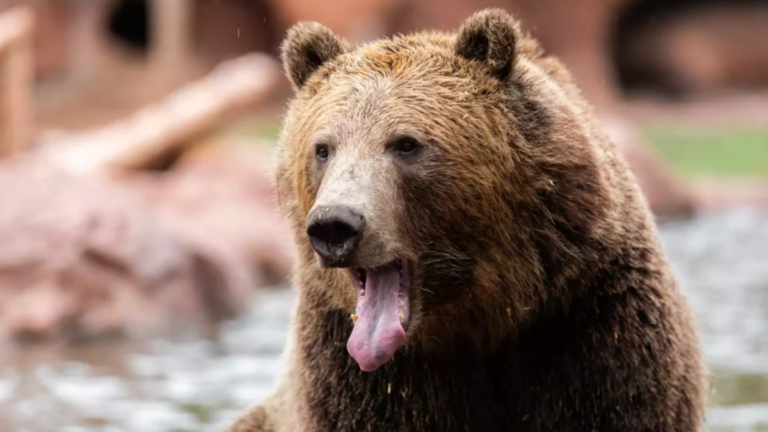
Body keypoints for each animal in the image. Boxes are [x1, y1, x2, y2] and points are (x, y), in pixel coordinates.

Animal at [226, 8, 707, 432]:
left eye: (405, 143)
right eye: (323, 148)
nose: (334, 226)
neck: (479, 322)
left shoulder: (592, 326)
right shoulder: (357, 372)